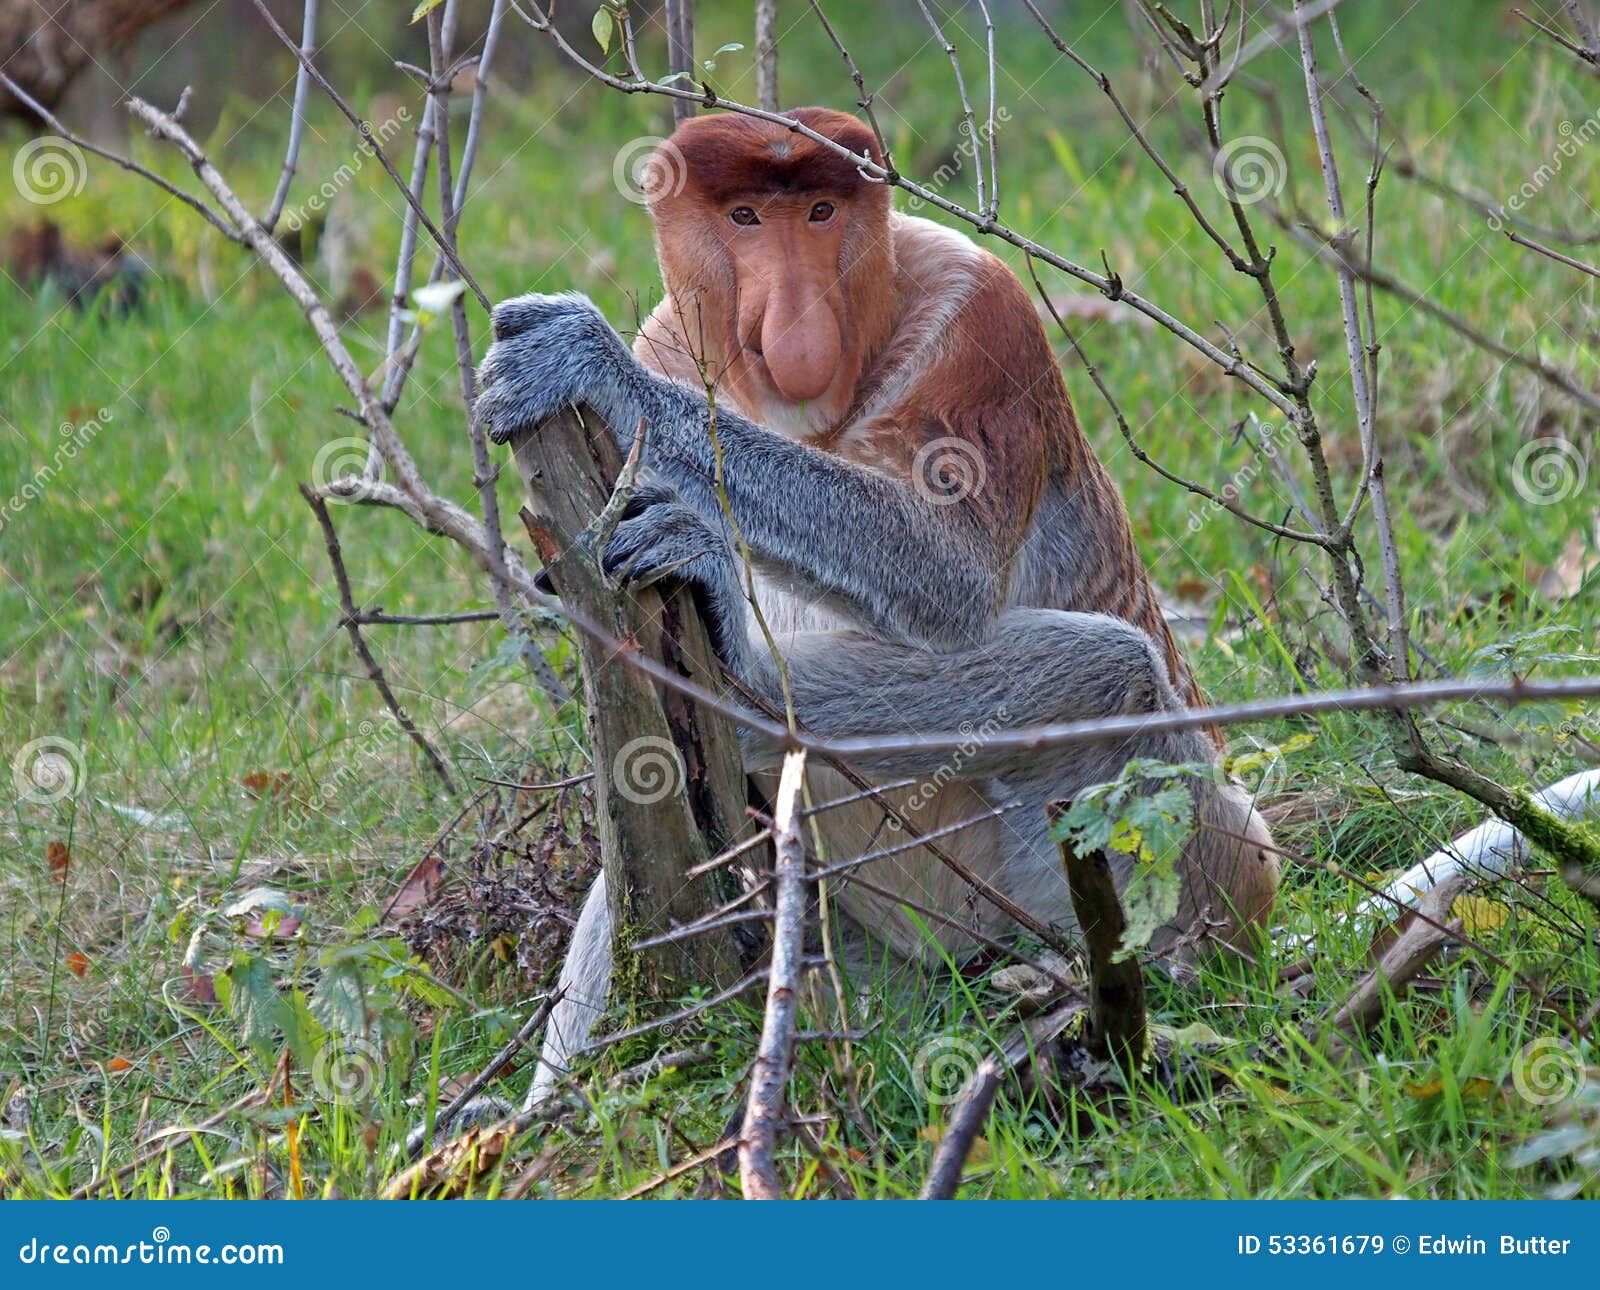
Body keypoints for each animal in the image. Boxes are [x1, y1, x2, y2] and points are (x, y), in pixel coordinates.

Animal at [474, 108, 1279, 1107]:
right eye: (745, 217)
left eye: (822, 212)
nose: (797, 318)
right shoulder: (673, 328)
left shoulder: (983, 318)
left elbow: (945, 573)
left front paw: (585, 364)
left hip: (1123, 864)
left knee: (1112, 668)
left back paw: (738, 688)